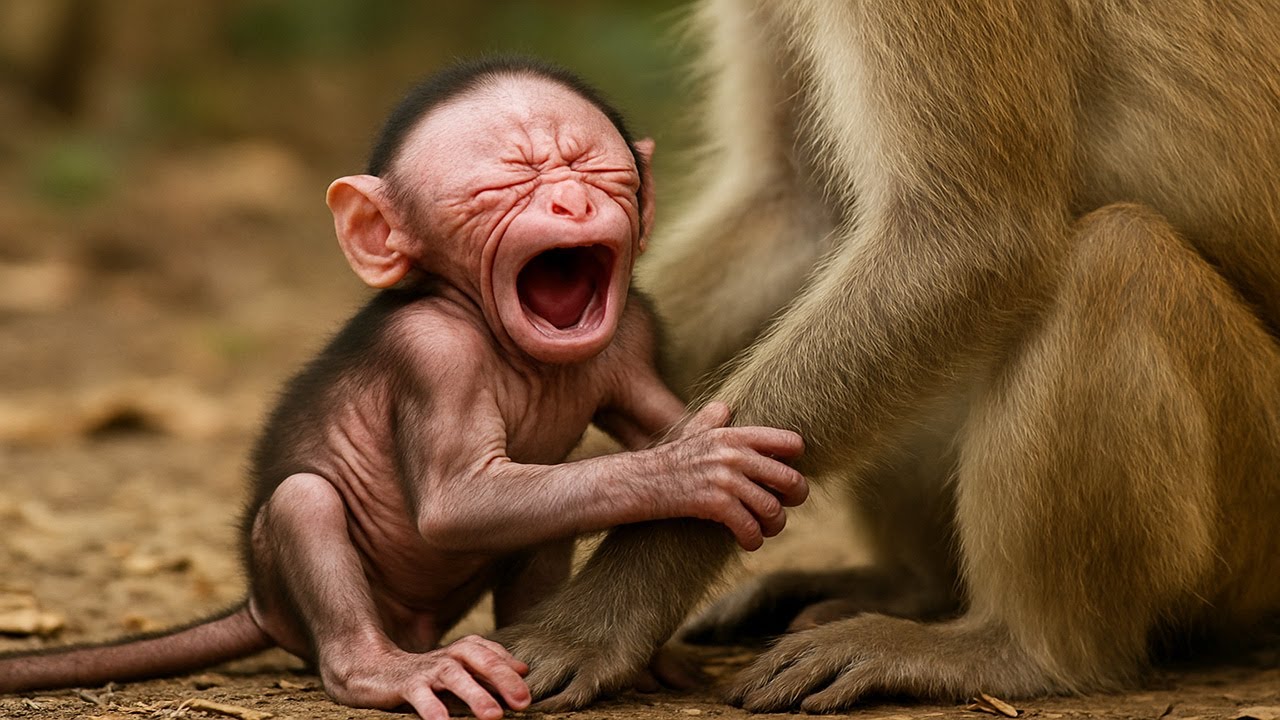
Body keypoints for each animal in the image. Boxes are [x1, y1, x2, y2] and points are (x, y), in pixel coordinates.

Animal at [0, 56, 810, 720]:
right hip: (312, 593)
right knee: (305, 501)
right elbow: (456, 502)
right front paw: (693, 469)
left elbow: (650, 415)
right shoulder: (435, 354)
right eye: (508, 180)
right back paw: (382, 670)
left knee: (547, 522)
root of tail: (259, 605)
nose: (571, 205)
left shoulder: (633, 332)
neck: (515, 345)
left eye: (589, 167)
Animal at [492, 0, 1280, 714]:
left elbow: (968, 240)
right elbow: (801, 205)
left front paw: (598, 615)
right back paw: (906, 588)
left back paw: (1019, 649)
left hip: (1251, 519)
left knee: (1117, 263)